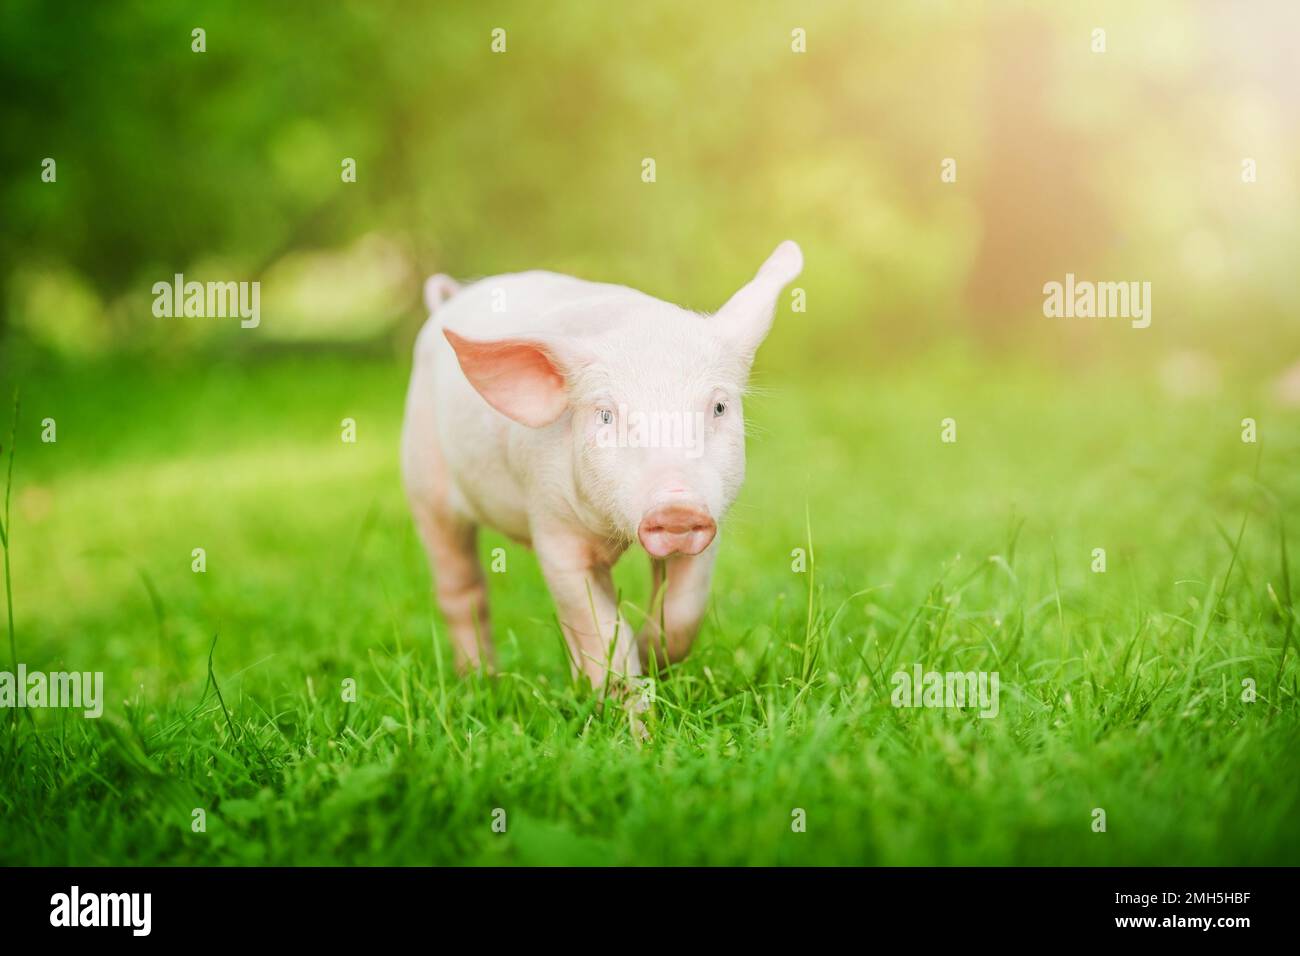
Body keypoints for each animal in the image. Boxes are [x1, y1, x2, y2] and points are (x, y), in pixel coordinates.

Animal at [400, 241, 802, 695]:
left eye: (718, 406)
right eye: (606, 414)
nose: (676, 507)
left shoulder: (710, 522)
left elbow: (682, 612)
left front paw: (650, 661)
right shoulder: (553, 529)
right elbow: (603, 631)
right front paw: (635, 710)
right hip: (424, 483)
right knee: (461, 589)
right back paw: (480, 681)